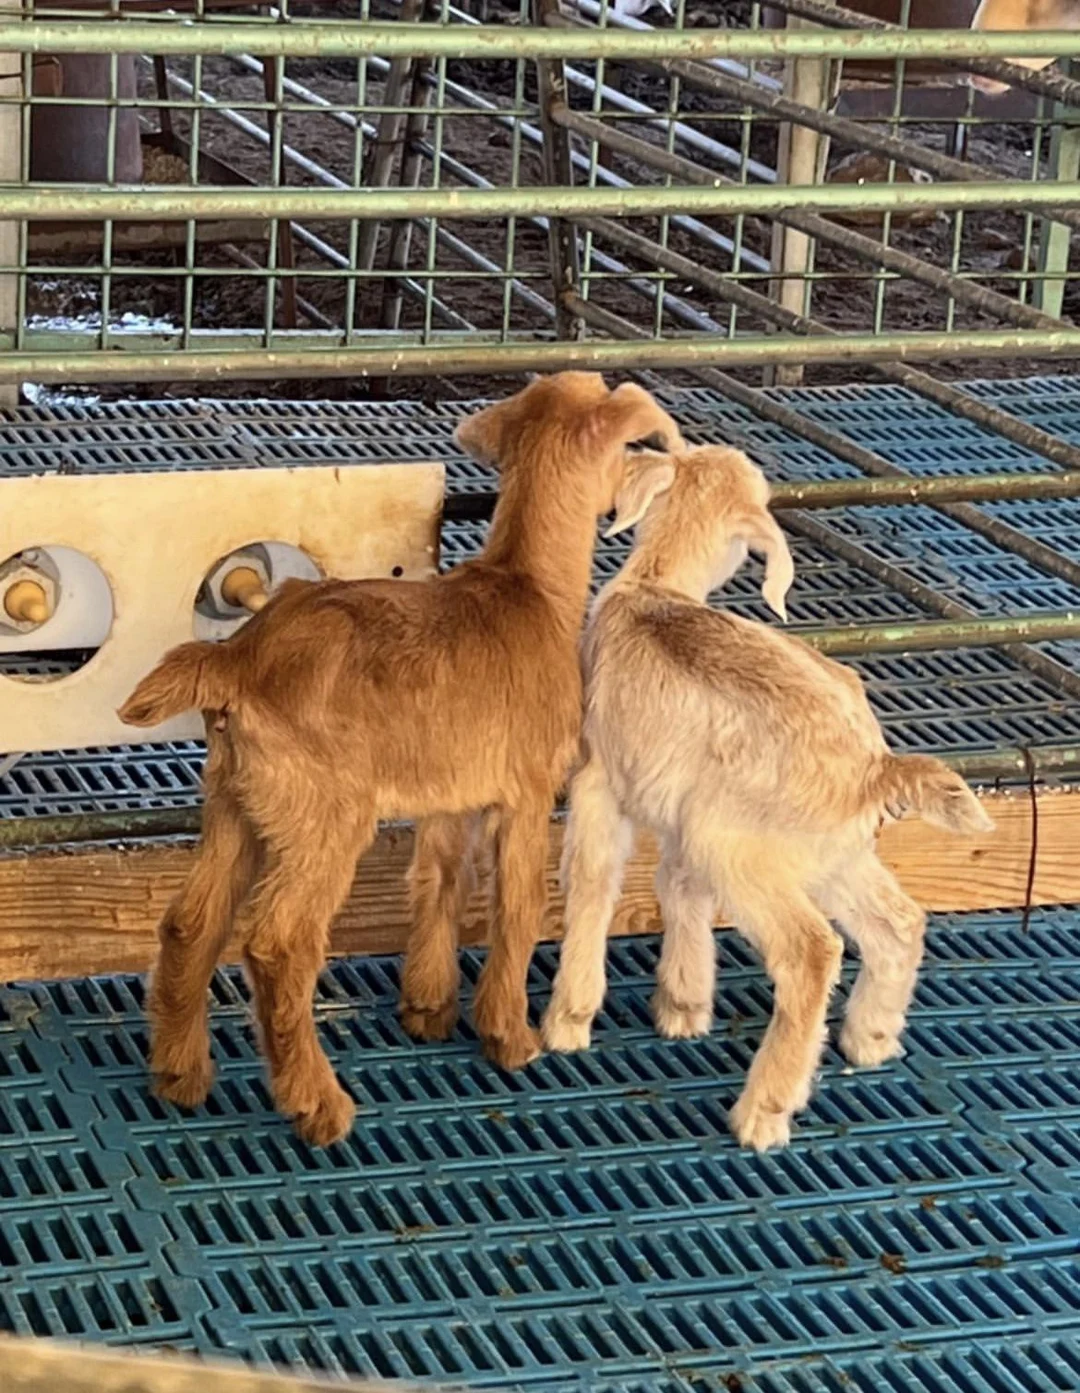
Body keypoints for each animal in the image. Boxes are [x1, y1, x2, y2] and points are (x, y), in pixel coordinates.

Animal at [118, 373, 685, 1147]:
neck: (529, 589)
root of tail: (235, 661)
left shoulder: (449, 795)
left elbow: (440, 882)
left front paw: (427, 1008)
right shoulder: (529, 790)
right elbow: (518, 903)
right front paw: (509, 1036)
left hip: (237, 800)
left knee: (190, 921)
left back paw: (180, 1074)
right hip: (324, 816)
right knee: (279, 944)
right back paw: (317, 1103)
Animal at [542, 444, 993, 1151]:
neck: (655, 591)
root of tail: (874, 769)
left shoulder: (601, 781)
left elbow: (591, 881)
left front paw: (568, 1021)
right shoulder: (682, 810)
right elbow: (679, 888)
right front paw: (684, 1006)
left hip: (742, 849)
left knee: (813, 953)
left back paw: (765, 1111)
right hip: (825, 851)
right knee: (897, 921)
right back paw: (871, 1037)